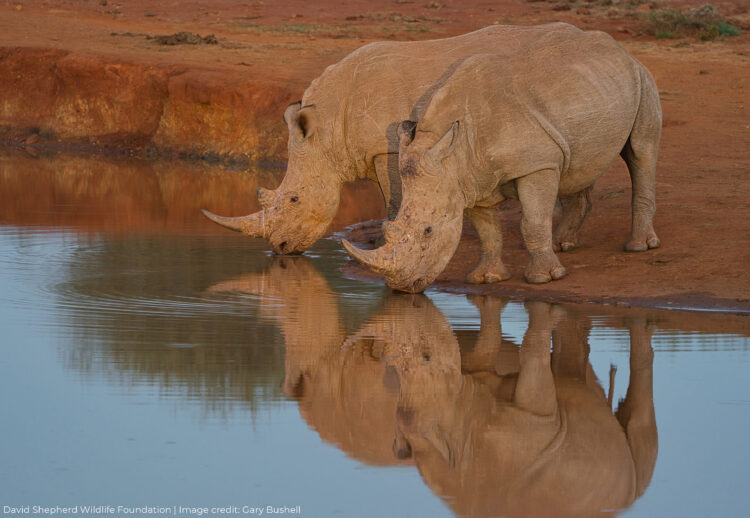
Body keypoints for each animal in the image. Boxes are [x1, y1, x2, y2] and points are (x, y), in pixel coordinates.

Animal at [202, 23, 594, 283]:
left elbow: (392, 194)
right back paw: (567, 240)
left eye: (294, 199)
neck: (329, 125)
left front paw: (381, 241)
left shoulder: (387, 147)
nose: (281, 249)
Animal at [343, 29, 662, 291]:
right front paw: (488, 278)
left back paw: (639, 247)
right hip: (592, 88)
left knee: (641, 151)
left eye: (428, 230)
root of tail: (619, 49)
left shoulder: (537, 165)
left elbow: (532, 221)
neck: (453, 149)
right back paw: (562, 244)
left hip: (643, 78)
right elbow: (487, 231)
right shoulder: (468, 179)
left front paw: (545, 278)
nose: (401, 288)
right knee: (579, 163)